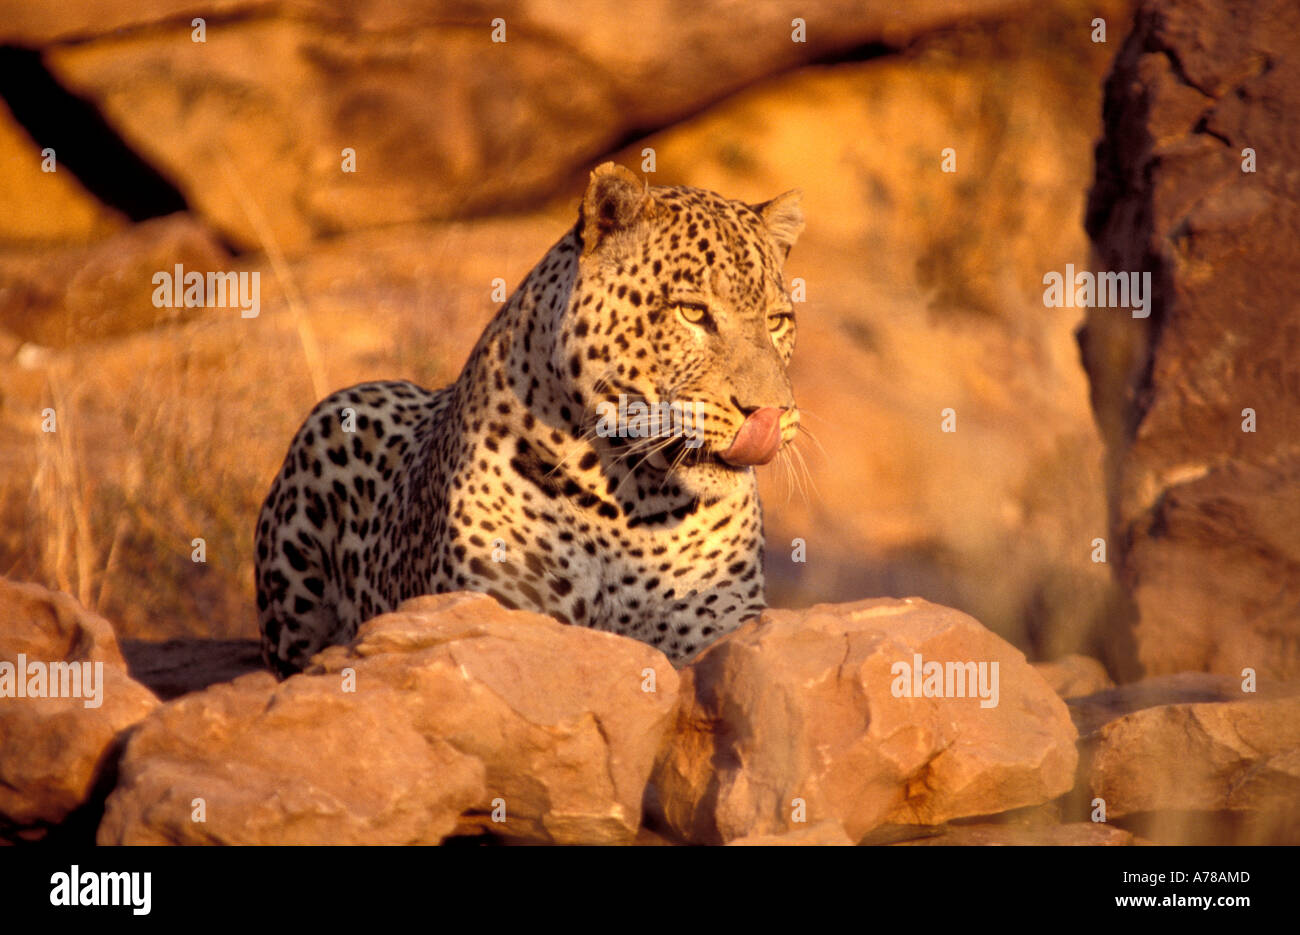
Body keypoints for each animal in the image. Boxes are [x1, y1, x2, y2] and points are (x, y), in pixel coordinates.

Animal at [255, 162, 805, 676]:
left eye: (778, 321)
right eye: (692, 312)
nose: (769, 412)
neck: (634, 503)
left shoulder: (719, 618)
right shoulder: (498, 611)